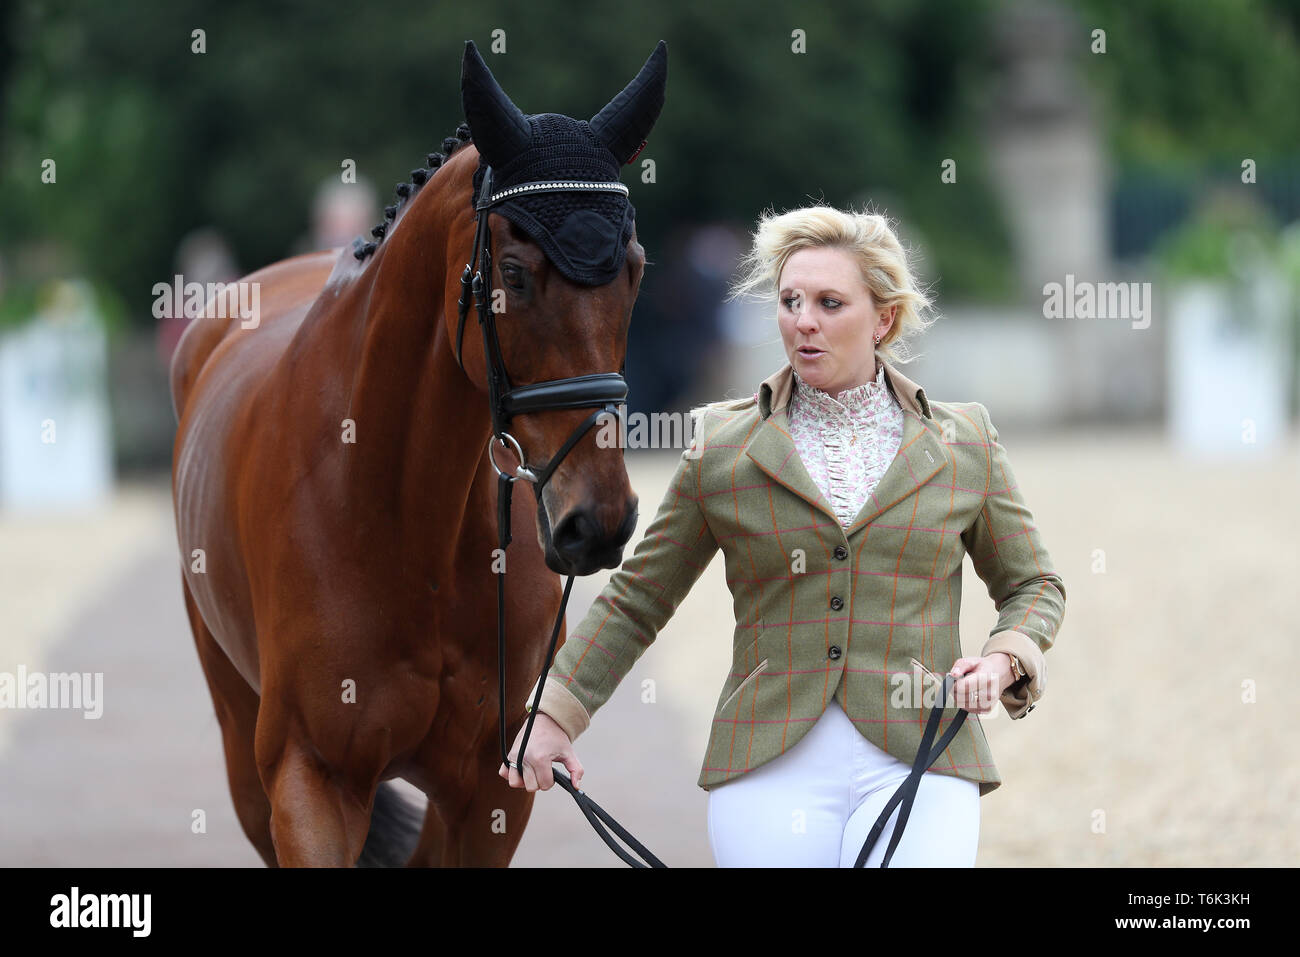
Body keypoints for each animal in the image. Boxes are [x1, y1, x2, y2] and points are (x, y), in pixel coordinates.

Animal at [169, 39, 667, 866]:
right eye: (512, 275)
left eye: (634, 269)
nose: (597, 521)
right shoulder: (312, 780)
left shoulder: (492, 790)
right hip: (242, 744)